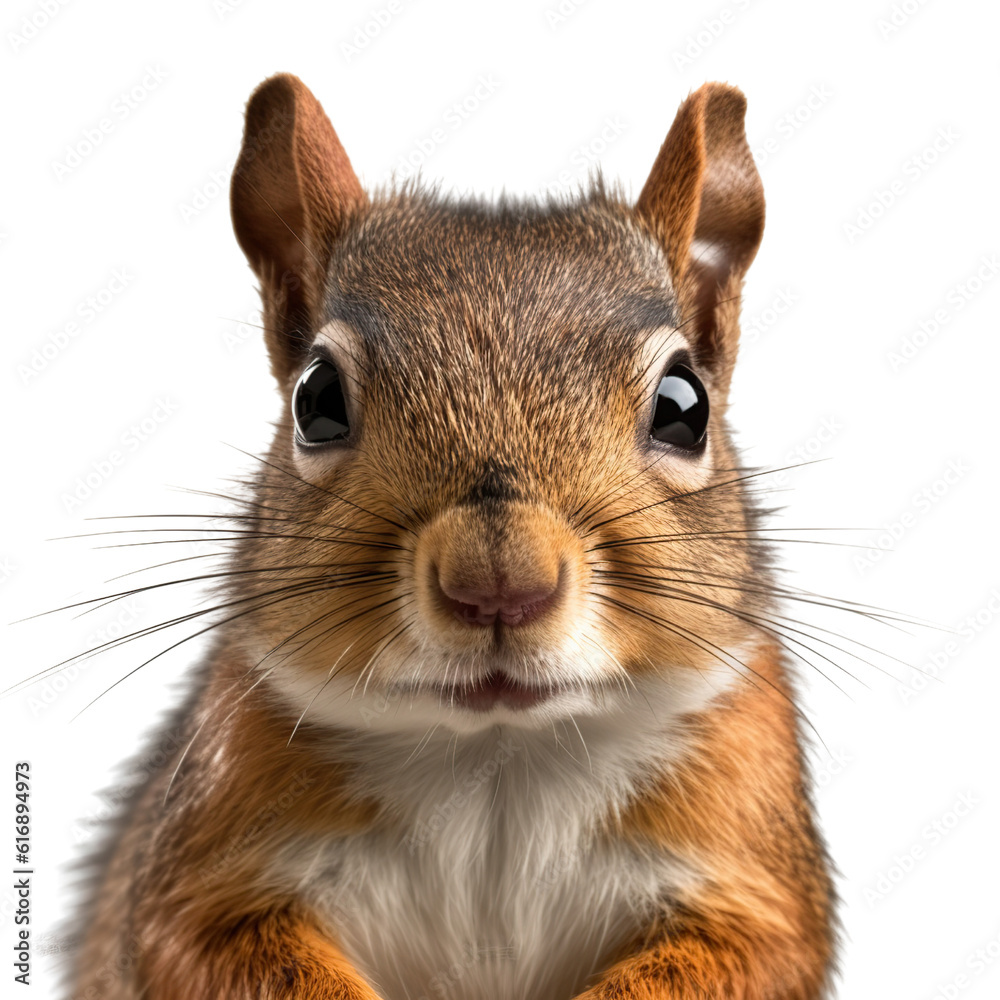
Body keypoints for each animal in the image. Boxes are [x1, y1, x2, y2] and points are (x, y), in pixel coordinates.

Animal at [67, 73, 836, 999]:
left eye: (684, 406)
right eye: (316, 399)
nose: (499, 582)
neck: (498, 762)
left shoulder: (751, 874)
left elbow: (749, 952)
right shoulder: (205, 876)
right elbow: (206, 946)